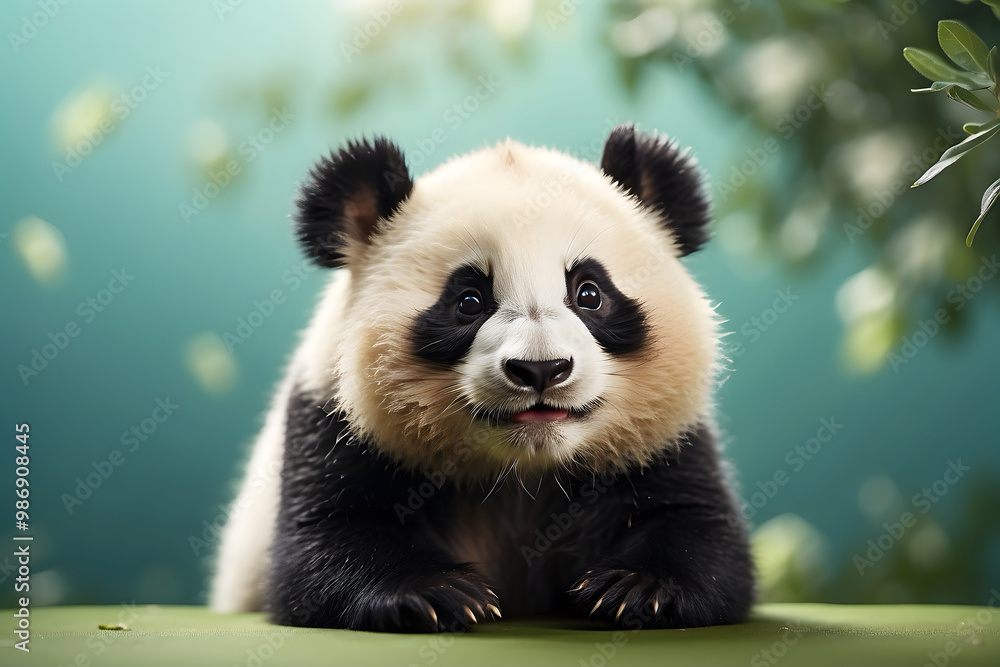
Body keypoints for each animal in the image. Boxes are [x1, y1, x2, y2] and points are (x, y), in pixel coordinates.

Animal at [209, 123, 755, 633]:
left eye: (590, 293)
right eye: (468, 301)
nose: (540, 369)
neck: (520, 473)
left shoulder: (667, 439)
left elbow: (701, 529)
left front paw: (637, 589)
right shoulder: (332, 420)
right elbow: (324, 539)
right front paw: (437, 594)